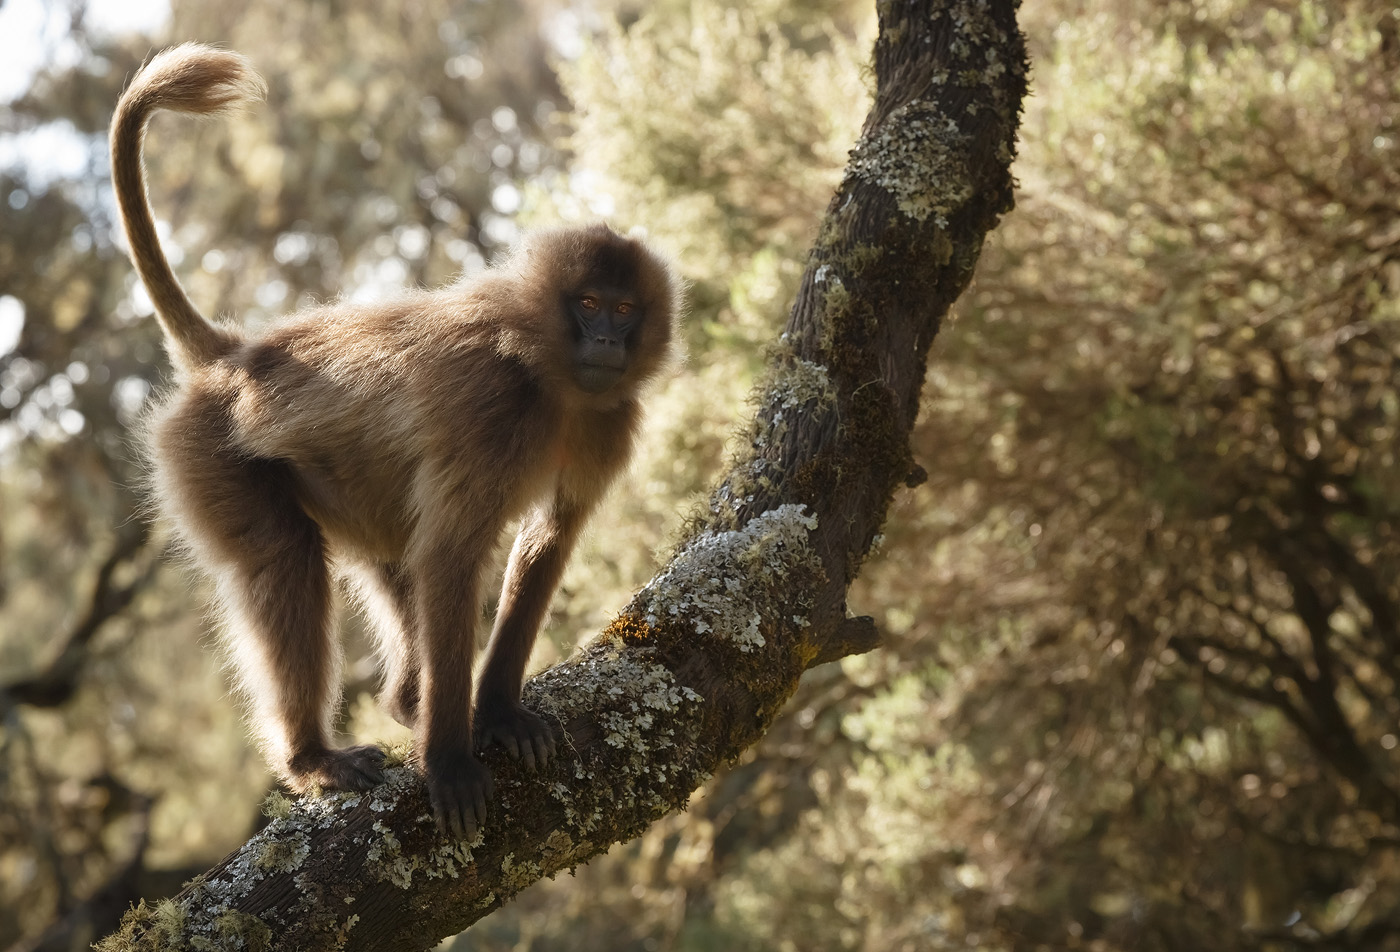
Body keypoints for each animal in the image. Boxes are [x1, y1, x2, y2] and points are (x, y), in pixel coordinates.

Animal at [109, 44, 681, 839]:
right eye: (590, 303)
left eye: (626, 310)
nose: (605, 342)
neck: (549, 377)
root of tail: (234, 359)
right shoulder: (490, 410)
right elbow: (452, 556)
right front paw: (449, 761)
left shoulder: (606, 419)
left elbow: (547, 540)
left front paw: (497, 712)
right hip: (210, 456)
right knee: (288, 560)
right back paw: (315, 758)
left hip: (340, 486)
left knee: (391, 557)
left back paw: (409, 703)